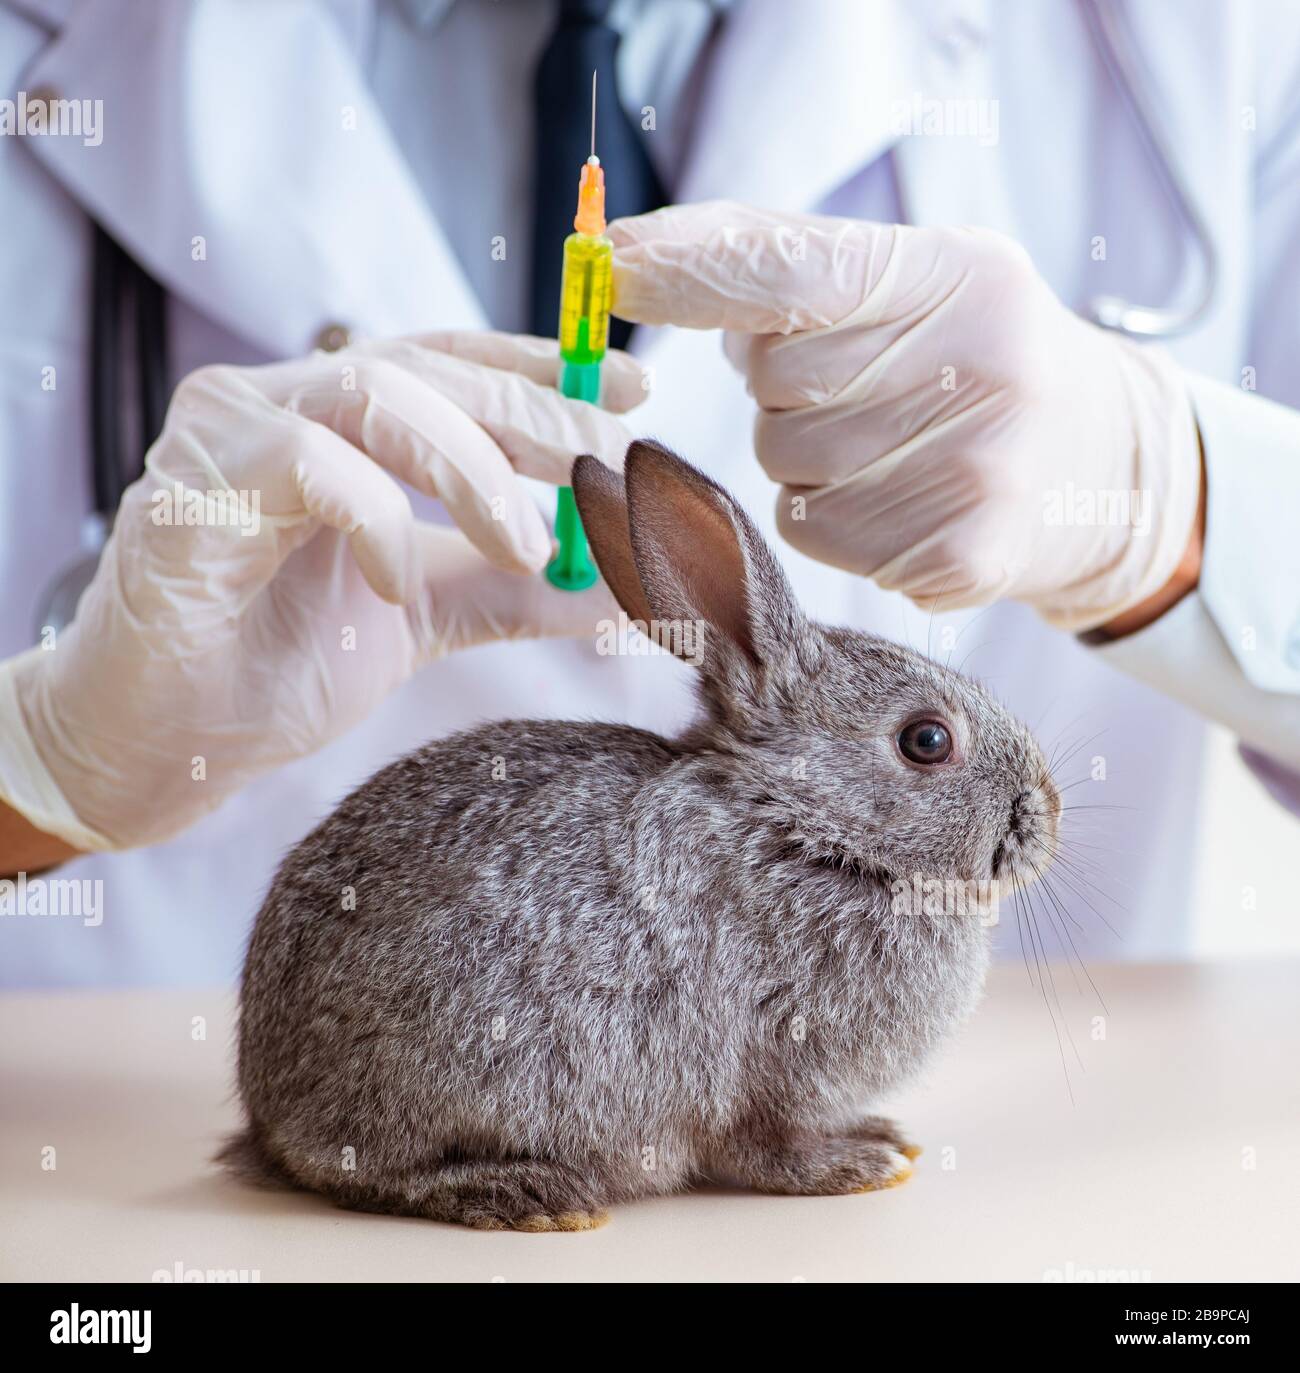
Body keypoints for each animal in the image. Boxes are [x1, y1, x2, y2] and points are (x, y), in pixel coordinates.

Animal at [219, 438, 1060, 1232]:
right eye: (927, 740)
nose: (1045, 816)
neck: (802, 823)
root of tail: (269, 1114)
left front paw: (881, 1133)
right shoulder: (771, 1062)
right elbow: (770, 1145)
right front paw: (858, 1163)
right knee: (368, 1173)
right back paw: (525, 1193)